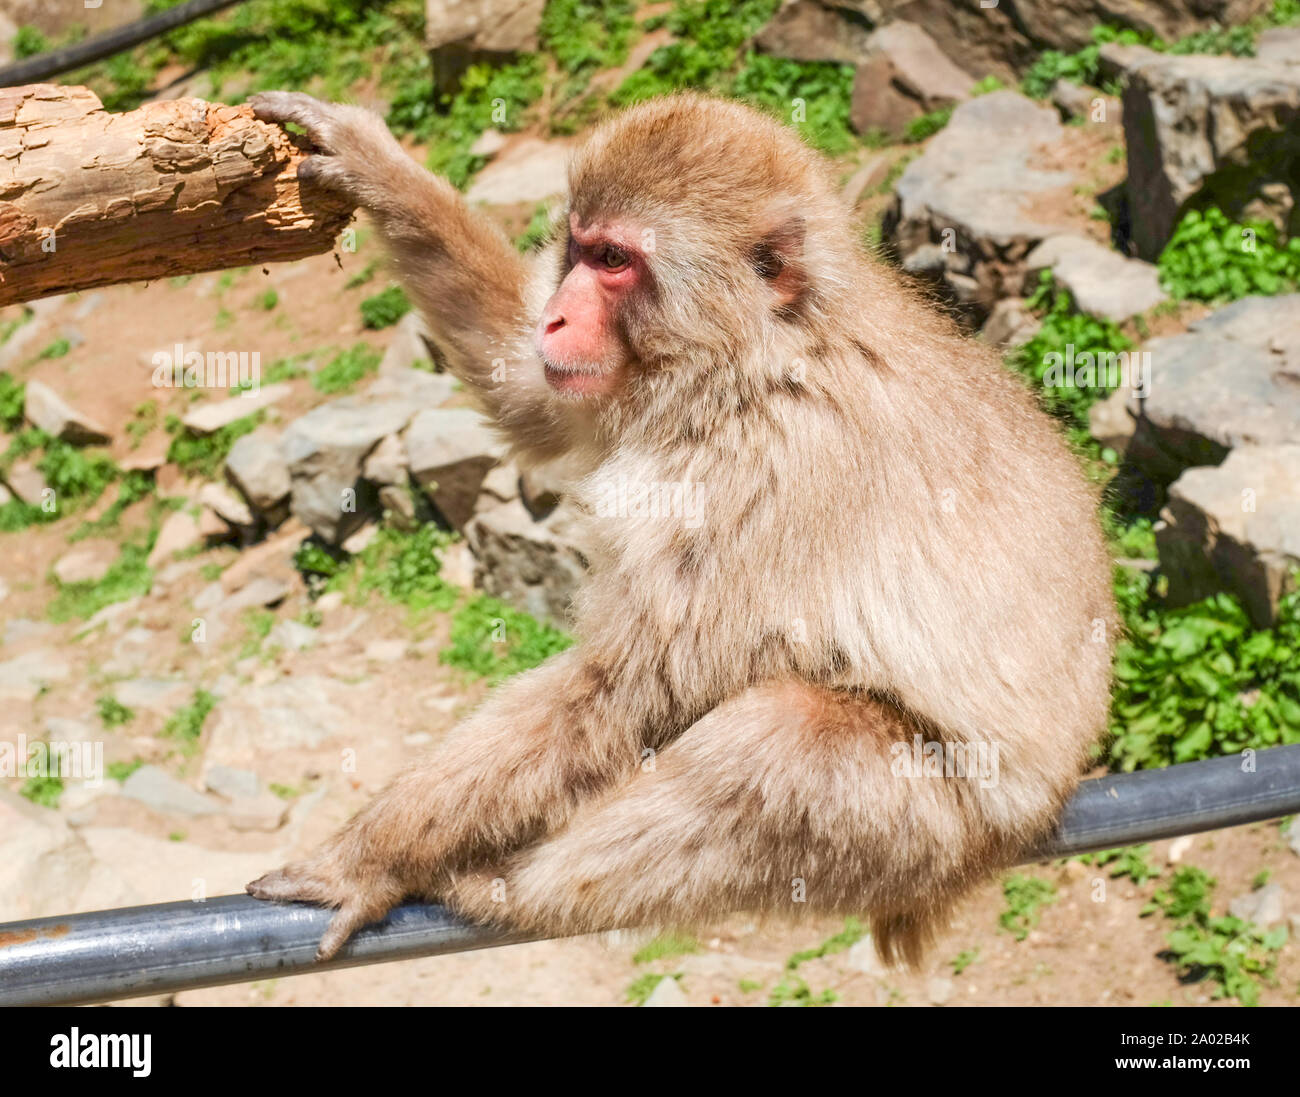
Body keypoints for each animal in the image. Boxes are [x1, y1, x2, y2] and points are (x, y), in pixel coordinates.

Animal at [245, 90, 1117, 967]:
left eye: (615, 262)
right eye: (579, 248)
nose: (556, 317)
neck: (751, 368)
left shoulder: (774, 480)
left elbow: (621, 693)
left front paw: (367, 858)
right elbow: (526, 389)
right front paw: (374, 164)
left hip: (934, 831)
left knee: (785, 736)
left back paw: (510, 892)